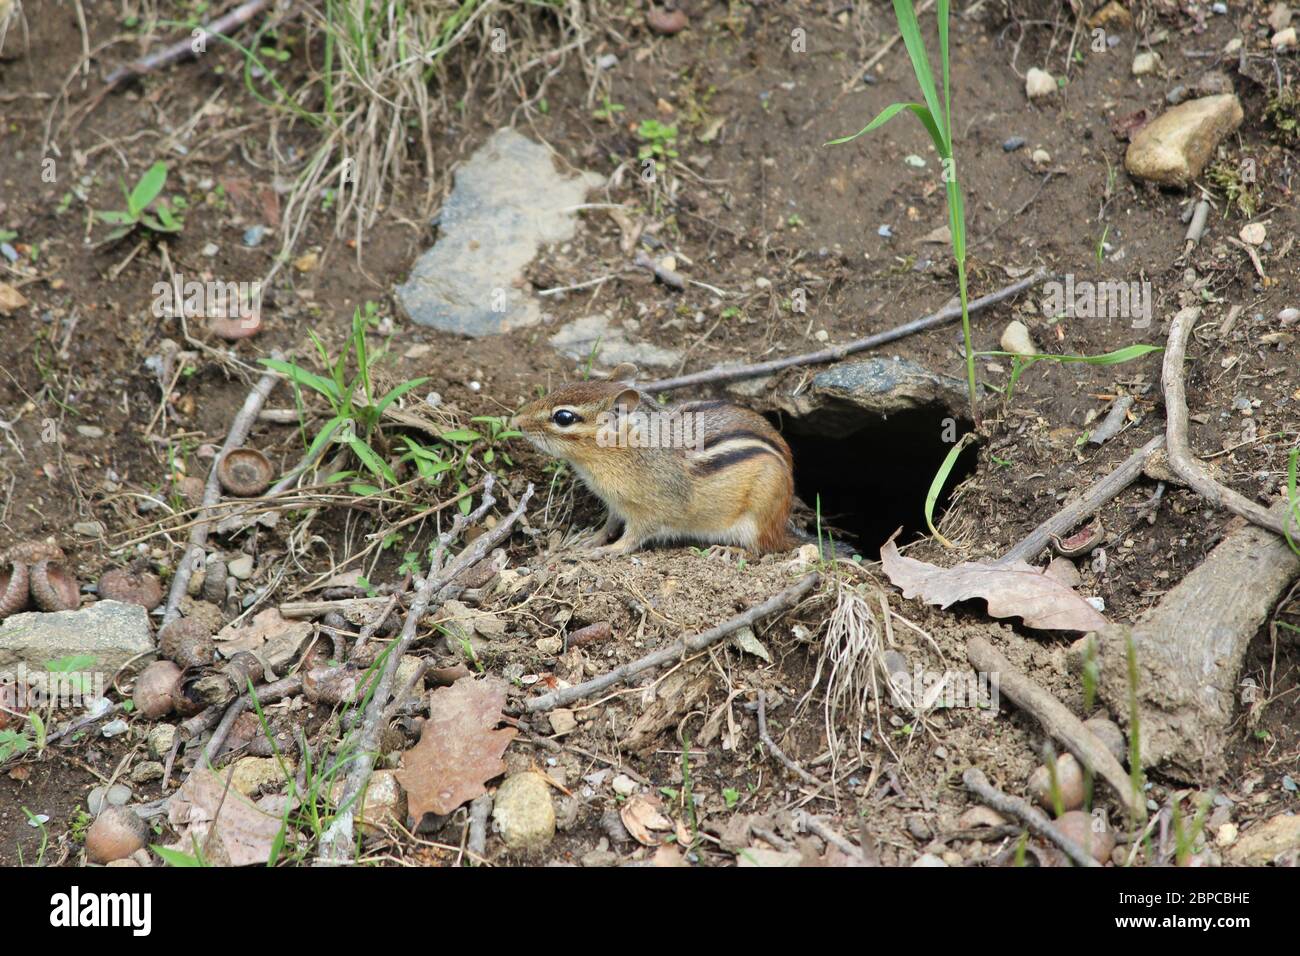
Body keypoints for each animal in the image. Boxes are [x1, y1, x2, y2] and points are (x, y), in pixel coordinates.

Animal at [513, 363, 842, 558]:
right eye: (562, 387)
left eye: (563, 417)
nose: (517, 422)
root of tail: (782, 524)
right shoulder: (617, 504)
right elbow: (609, 524)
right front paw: (590, 540)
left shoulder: (652, 511)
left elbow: (633, 537)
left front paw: (607, 551)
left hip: (760, 515)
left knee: (764, 550)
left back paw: (733, 552)